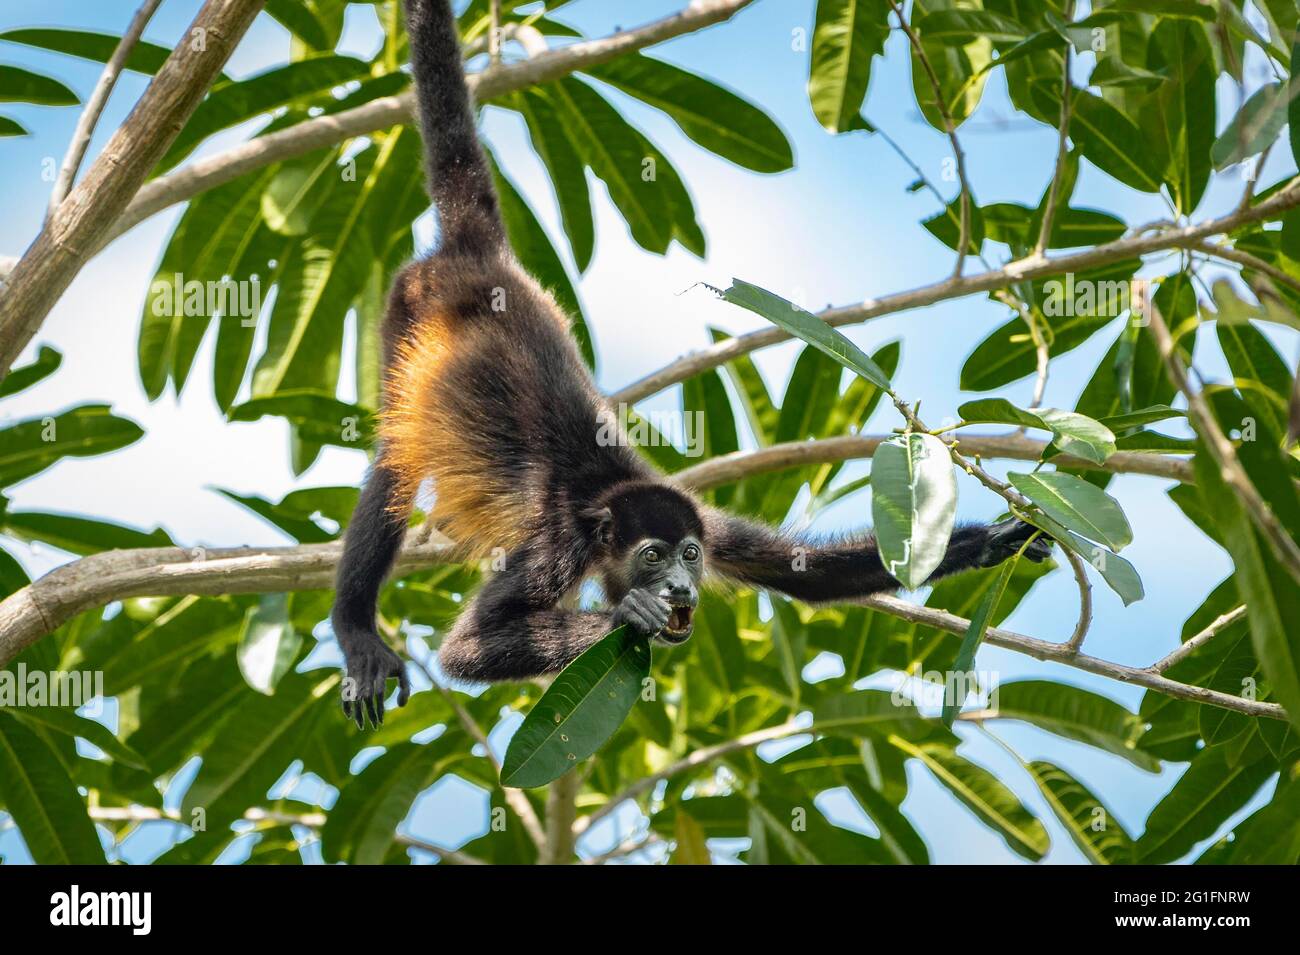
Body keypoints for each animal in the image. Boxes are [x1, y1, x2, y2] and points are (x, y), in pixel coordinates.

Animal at [330, 0, 1053, 729]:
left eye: (688, 554)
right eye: (653, 558)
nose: (680, 585)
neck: (609, 505)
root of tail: (477, 257)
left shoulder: (710, 522)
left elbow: (806, 573)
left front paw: (994, 540)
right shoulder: (556, 546)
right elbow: (468, 649)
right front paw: (629, 615)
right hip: (403, 315)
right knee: (393, 469)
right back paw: (358, 631)